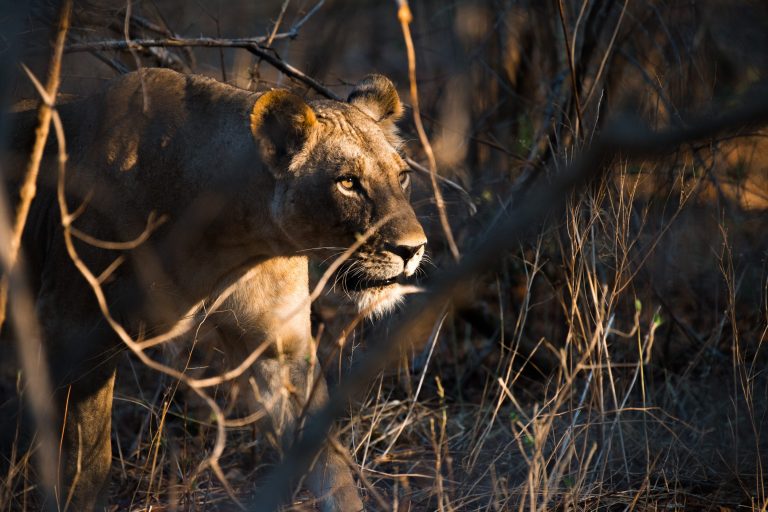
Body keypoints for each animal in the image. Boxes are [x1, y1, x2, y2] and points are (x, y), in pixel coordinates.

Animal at [1, 68, 426, 511]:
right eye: (347, 183)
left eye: (402, 176)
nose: (413, 249)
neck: (235, 242)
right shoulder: (76, 332)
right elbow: (86, 468)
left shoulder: (281, 348)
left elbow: (330, 466)